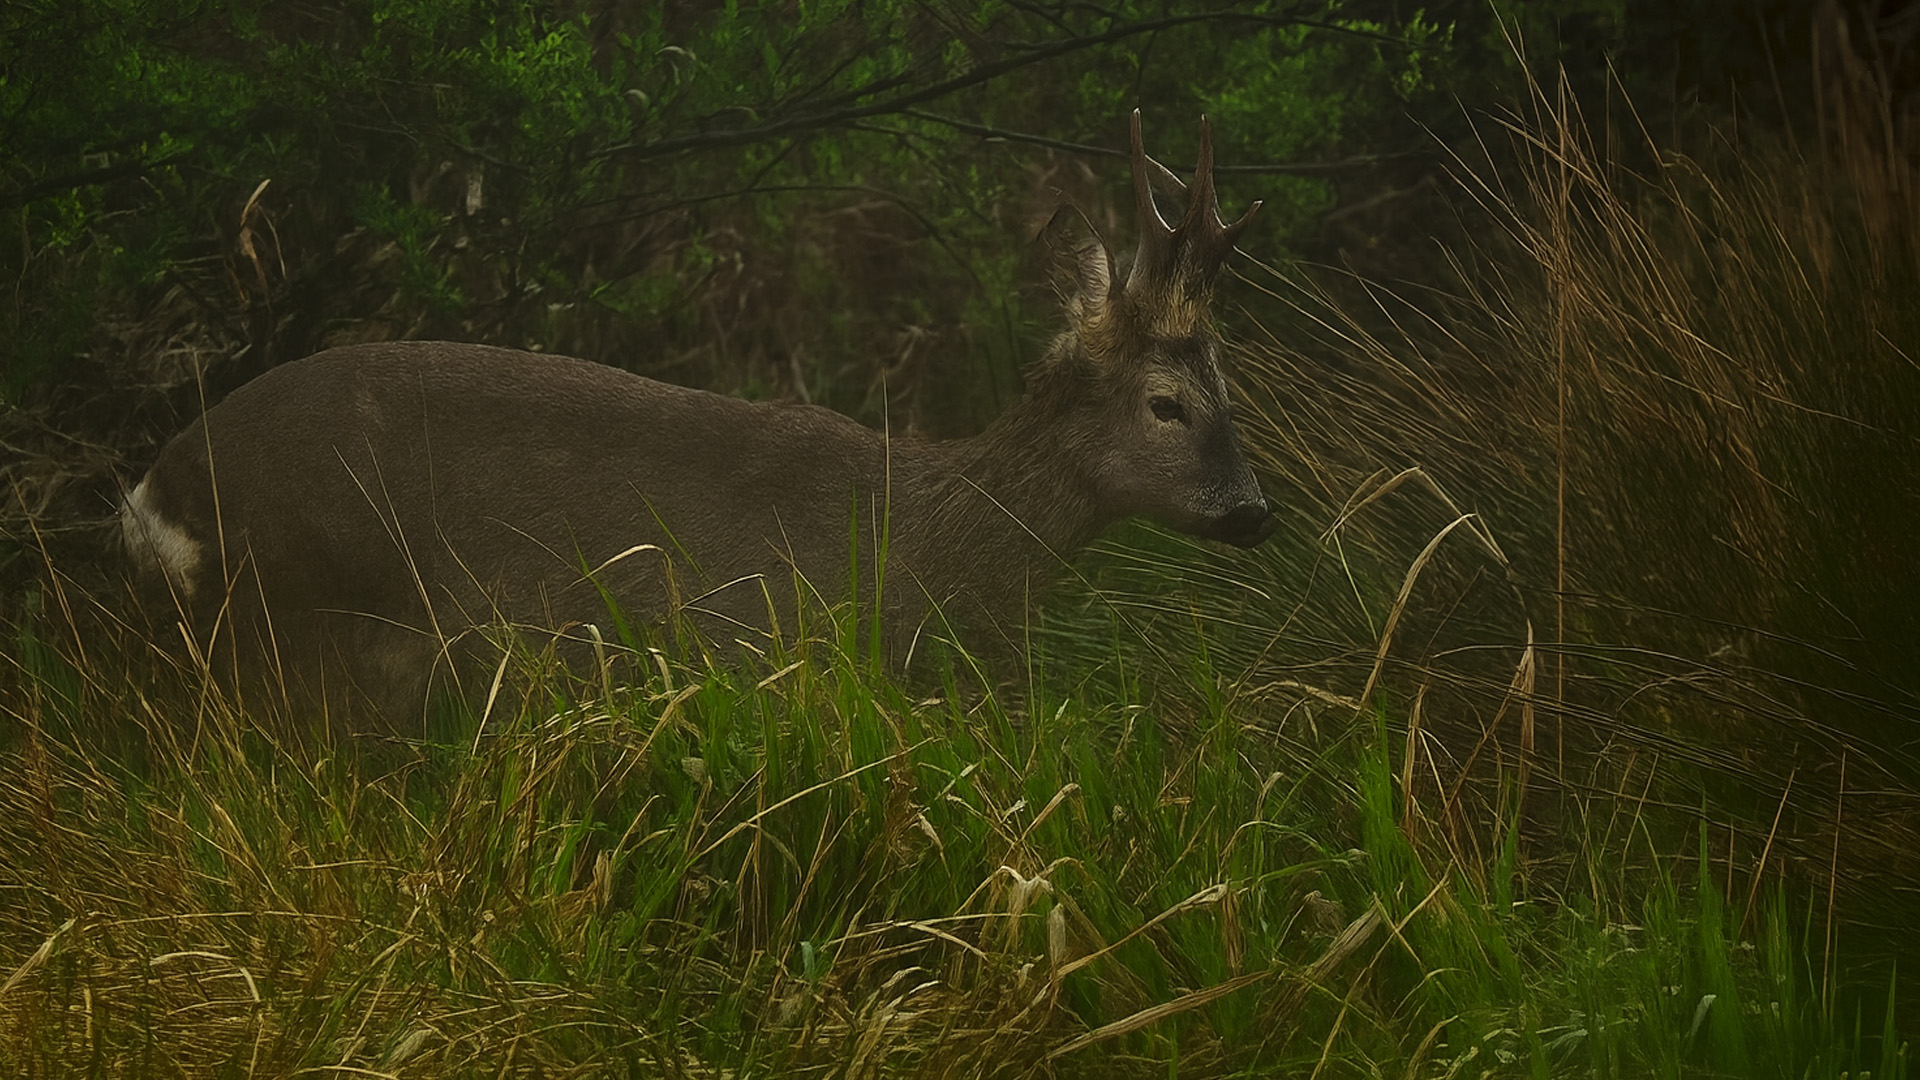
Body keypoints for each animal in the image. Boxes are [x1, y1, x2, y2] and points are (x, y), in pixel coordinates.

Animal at [121, 111, 1273, 724]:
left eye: (1232, 385)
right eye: (1166, 404)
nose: (1256, 510)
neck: (922, 544)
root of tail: (153, 496)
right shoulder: (765, 642)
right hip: (305, 610)